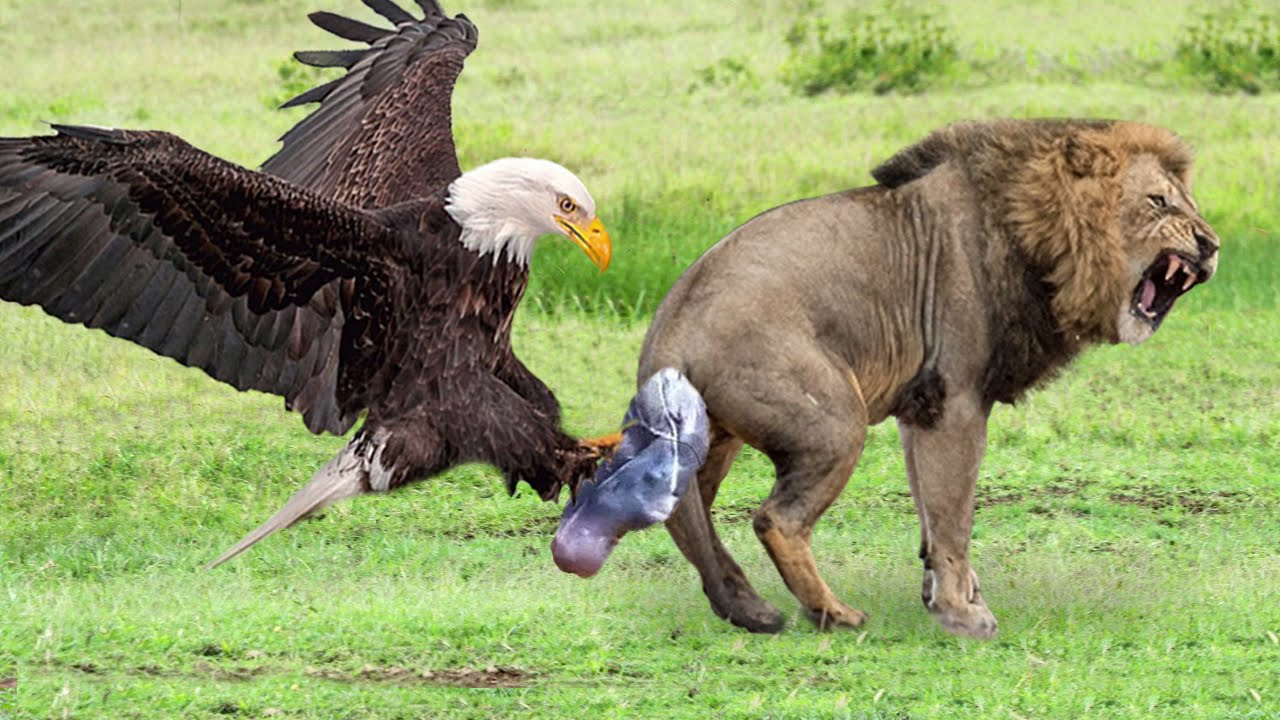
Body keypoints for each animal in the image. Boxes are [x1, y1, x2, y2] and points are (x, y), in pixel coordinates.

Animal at [636, 119, 1219, 638]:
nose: (1211, 245)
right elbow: (953, 513)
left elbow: (928, 507)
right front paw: (963, 615)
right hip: (832, 420)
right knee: (776, 519)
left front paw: (943, 591)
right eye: (1159, 202)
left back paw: (745, 604)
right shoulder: (956, 400)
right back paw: (832, 613)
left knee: (687, 511)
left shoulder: (920, 407)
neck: (1039, 236)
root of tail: (670, 324)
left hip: (715, 436)